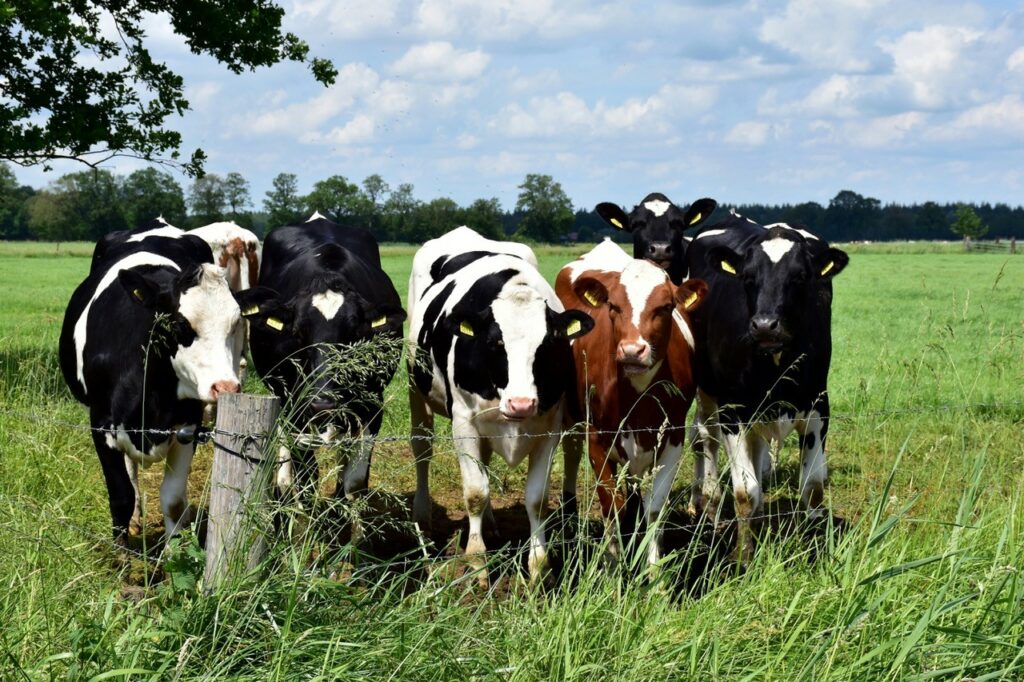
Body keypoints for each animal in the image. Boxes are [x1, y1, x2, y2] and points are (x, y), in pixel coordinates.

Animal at [58, 225, 245, 547]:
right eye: (181, 324)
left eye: (234, 325)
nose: (225, 387)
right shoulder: (100, 423)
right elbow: (121, 495)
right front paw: (122, 553)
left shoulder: (188, 426)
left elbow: (173, 500)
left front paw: (174, 551)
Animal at [236, 213, 406, 538]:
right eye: (298, 332)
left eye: (352, 333)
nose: (322, 403)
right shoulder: (294, 405)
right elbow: (307, 476)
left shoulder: (372, 406)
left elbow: (354, 481)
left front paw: (351, 535)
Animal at [407, 226, 594, 585]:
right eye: (495, 343)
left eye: (548, 344)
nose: (521, 404)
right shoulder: (463, 422)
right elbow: (474, 492)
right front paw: (477, 561)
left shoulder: (549, 426)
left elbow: (536, 498)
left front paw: (538, 565)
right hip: (415, 388)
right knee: (422, 448)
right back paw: (422, 515)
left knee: (485, 460)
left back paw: (491, 522)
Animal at [556, 239, 707, 571]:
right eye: (613, 306)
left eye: (665, 307)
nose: (632, 351)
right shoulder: (597, 439)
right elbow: (611, 505)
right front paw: (613, 566)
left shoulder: (672, 436)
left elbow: (655, 507)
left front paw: (653, 569)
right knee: (570, 451)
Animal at [684, 211, 849, 562]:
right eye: (747, 278)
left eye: (800, 277)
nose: (764, 326)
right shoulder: (733, 412)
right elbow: (745, 492)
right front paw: (743, 557)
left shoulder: (818, 408)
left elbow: (813, 487)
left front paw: (813, 549)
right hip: (708, 393)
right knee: (704, 437)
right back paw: (708, 504)